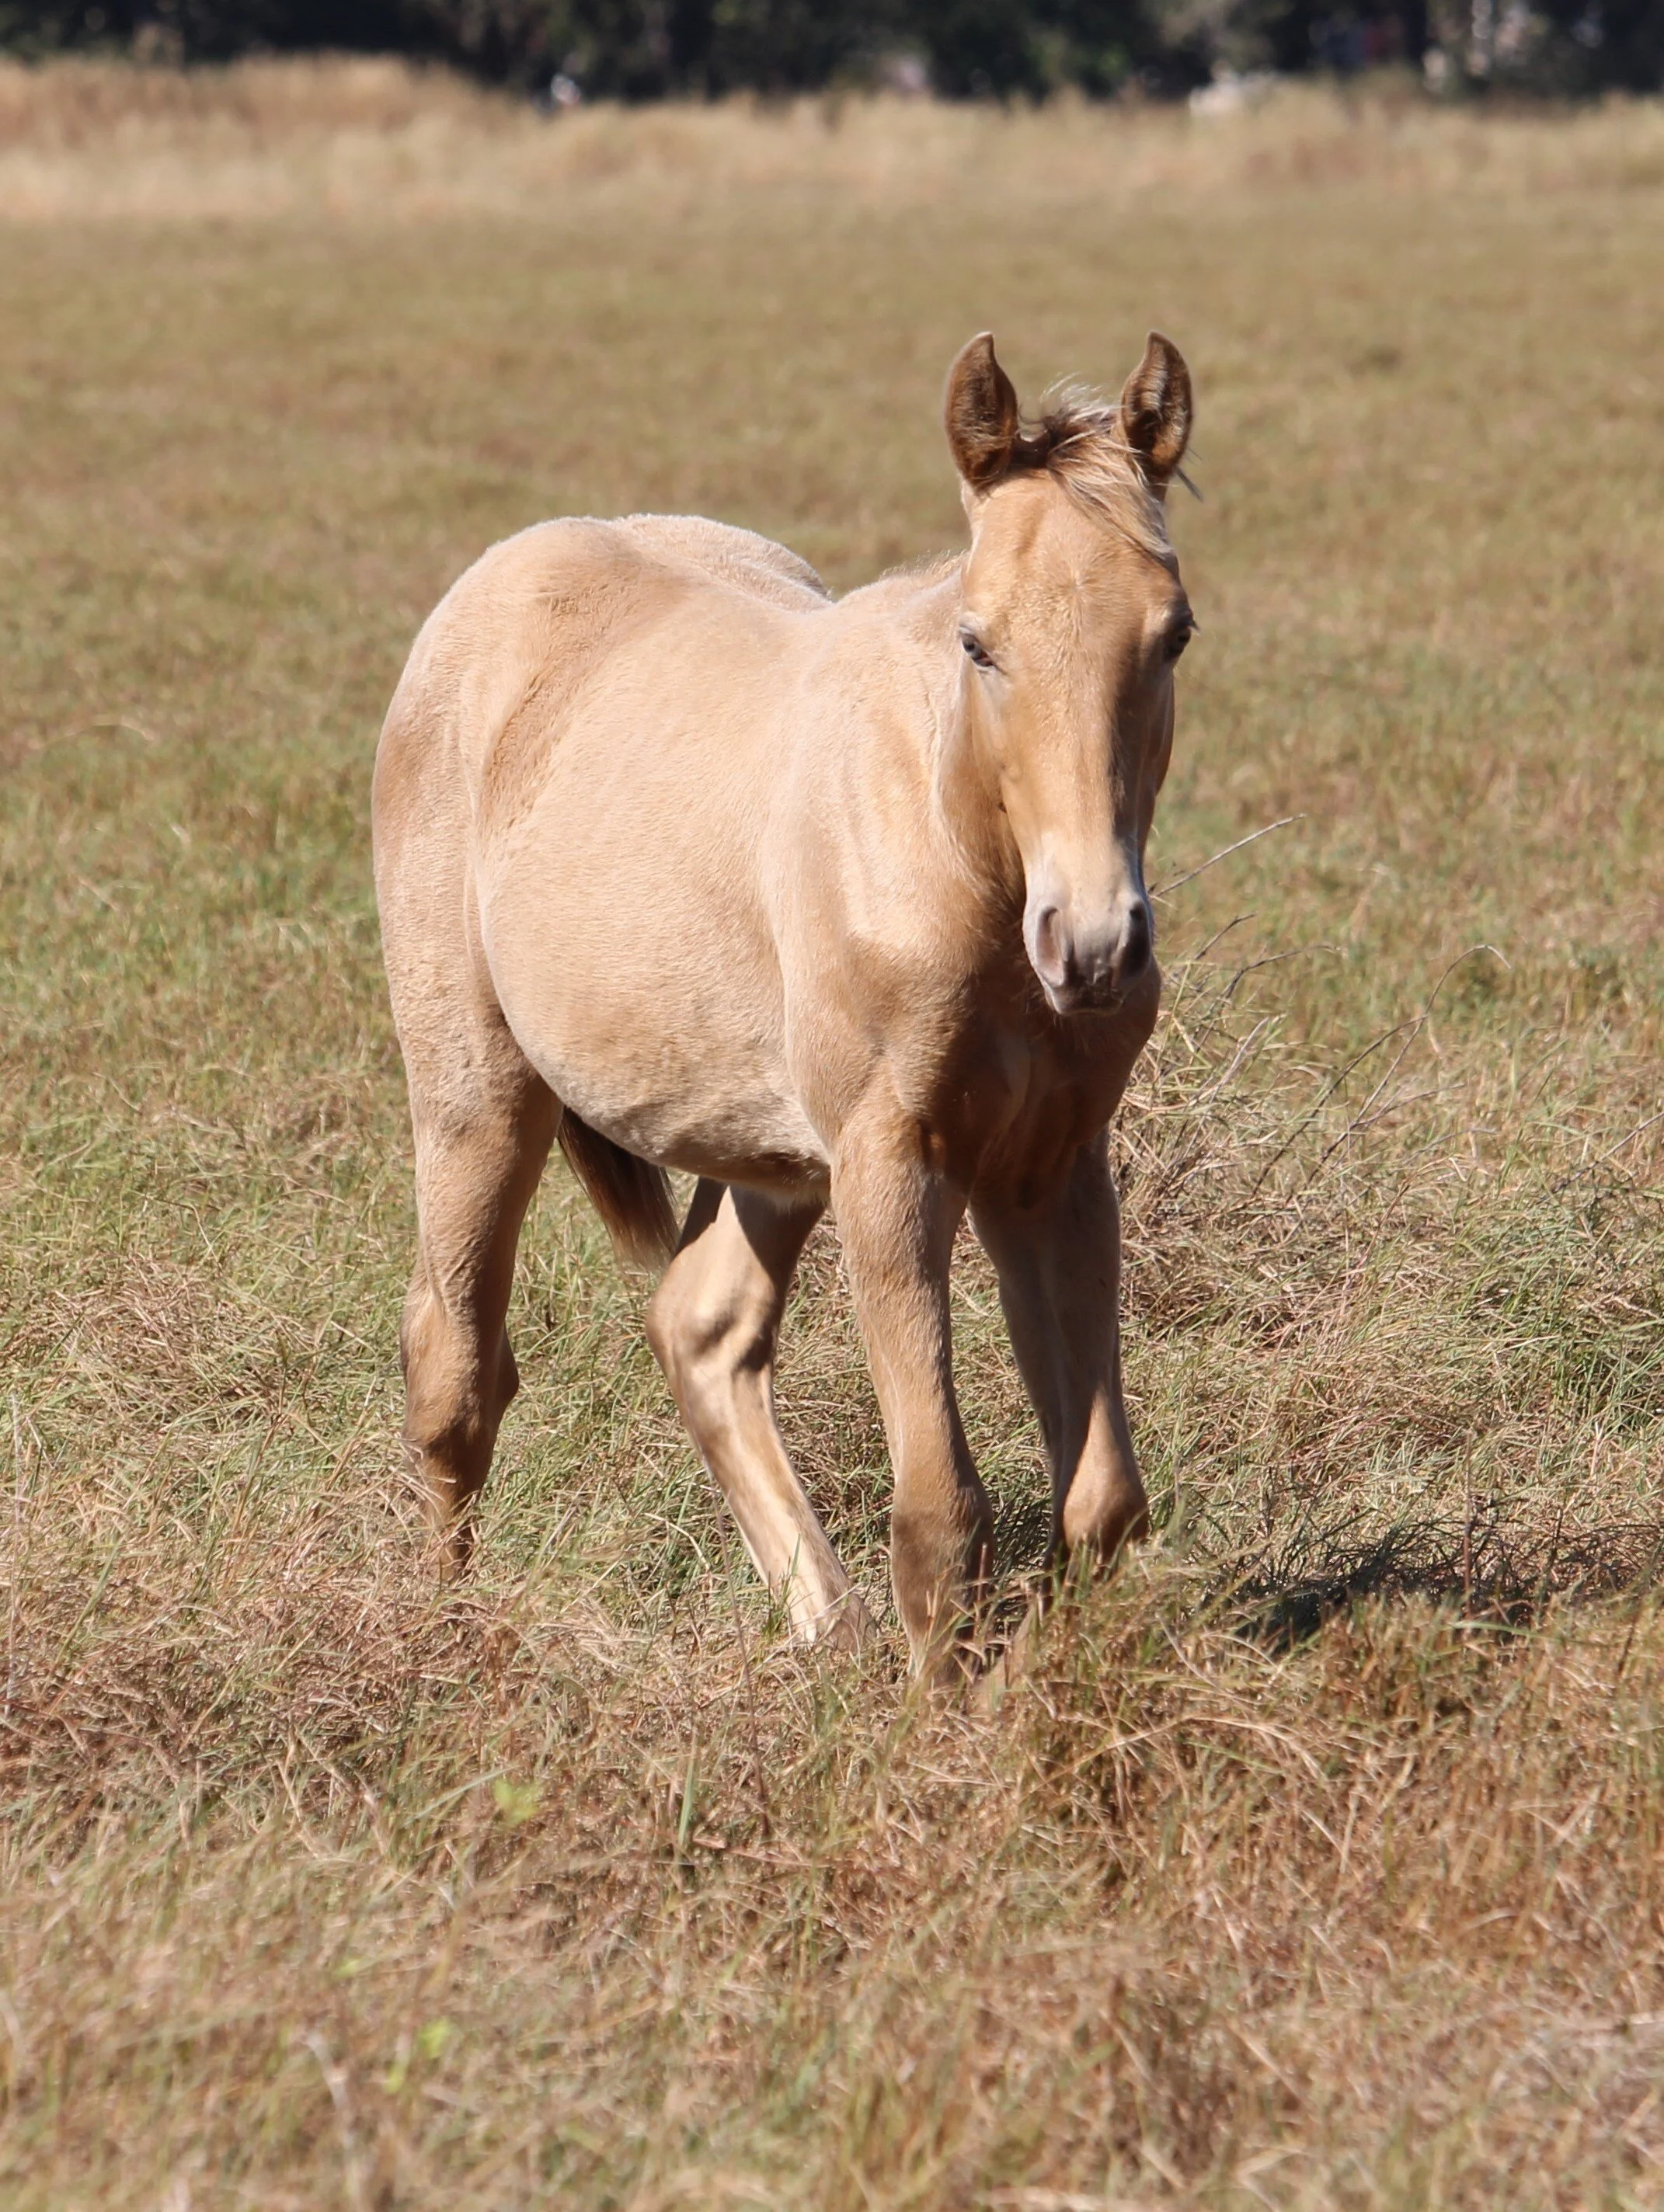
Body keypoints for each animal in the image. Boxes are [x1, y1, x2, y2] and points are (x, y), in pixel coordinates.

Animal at [372, 329, 1195, 1675]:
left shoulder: (1049, 1166)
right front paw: (935, 1723)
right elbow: (940, 1517)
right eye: (976, 641)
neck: (948, 842)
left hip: (770, 1155)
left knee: (698, 1329)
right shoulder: (891, 1162)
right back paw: (438, 1642)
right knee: (454, 1370)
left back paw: (824, 1631)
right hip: (478, 1097)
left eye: (1171, 635)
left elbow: (1101, 1500)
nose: (1090, 949)